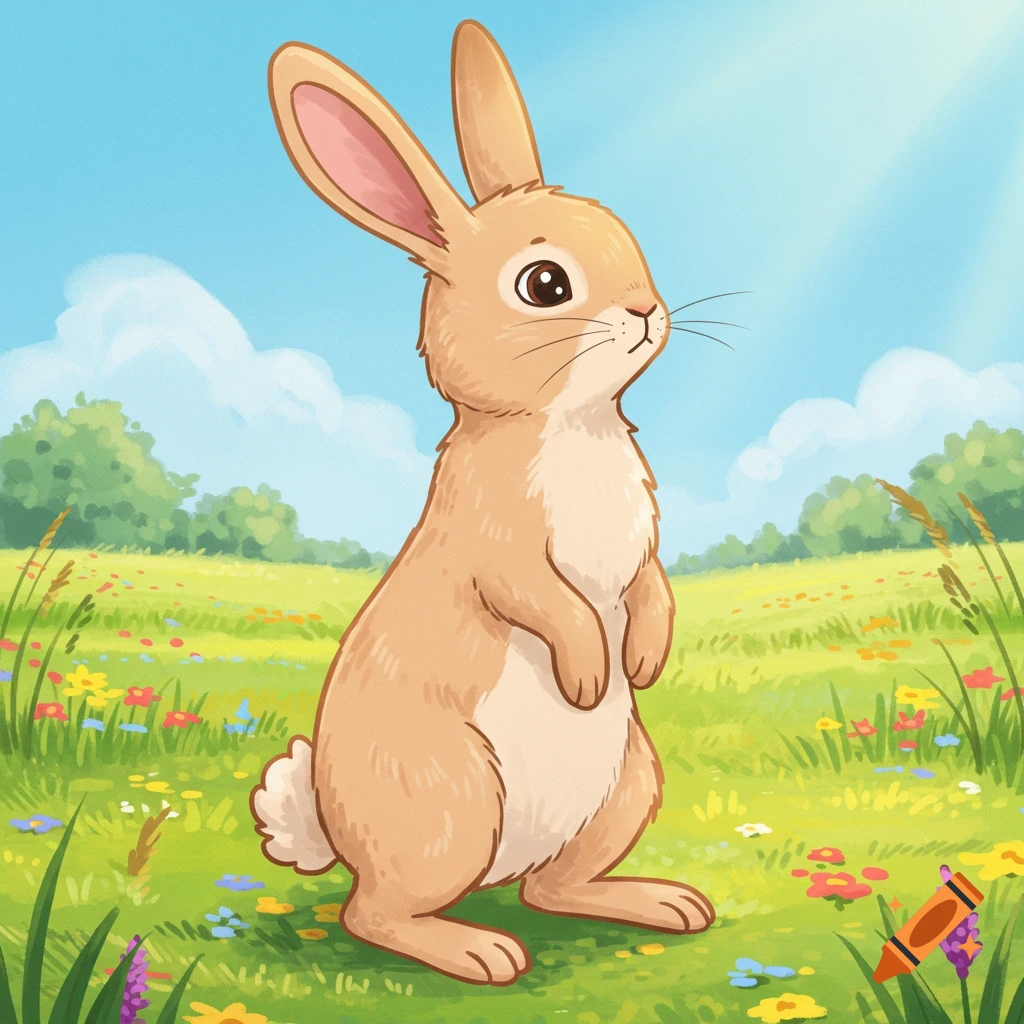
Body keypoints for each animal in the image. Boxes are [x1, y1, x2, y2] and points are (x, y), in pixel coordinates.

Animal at [251, 19, 715, 986]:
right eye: (545, 285)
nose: (648, 312)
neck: (564, 422)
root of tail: (336, 833)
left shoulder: (641, 549)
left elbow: (649, 587)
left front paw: (645, 658)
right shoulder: (494, 545)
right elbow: (542, 599)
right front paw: (590, 674)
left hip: (627, 785)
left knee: (554, 889)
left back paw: (661, 904)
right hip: (452, 798)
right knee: (373, 914)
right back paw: (478, 952)